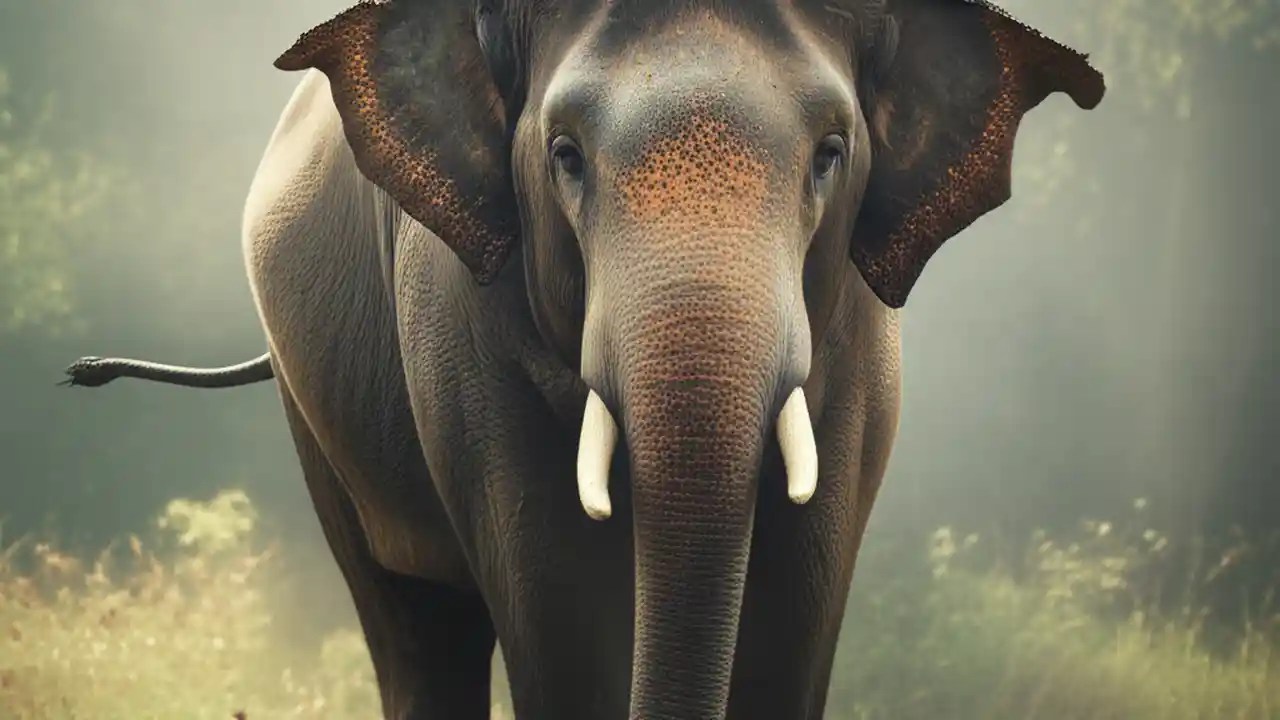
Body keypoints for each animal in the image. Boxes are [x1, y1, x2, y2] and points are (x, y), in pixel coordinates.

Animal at [63, 1, 1105, 718]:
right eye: (563, 154)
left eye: (830, 154)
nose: (81, 372)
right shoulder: (457, 313)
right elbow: (556, 597)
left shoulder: (857, 343)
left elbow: (803, 595)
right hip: (312, 410)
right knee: (414, 626)